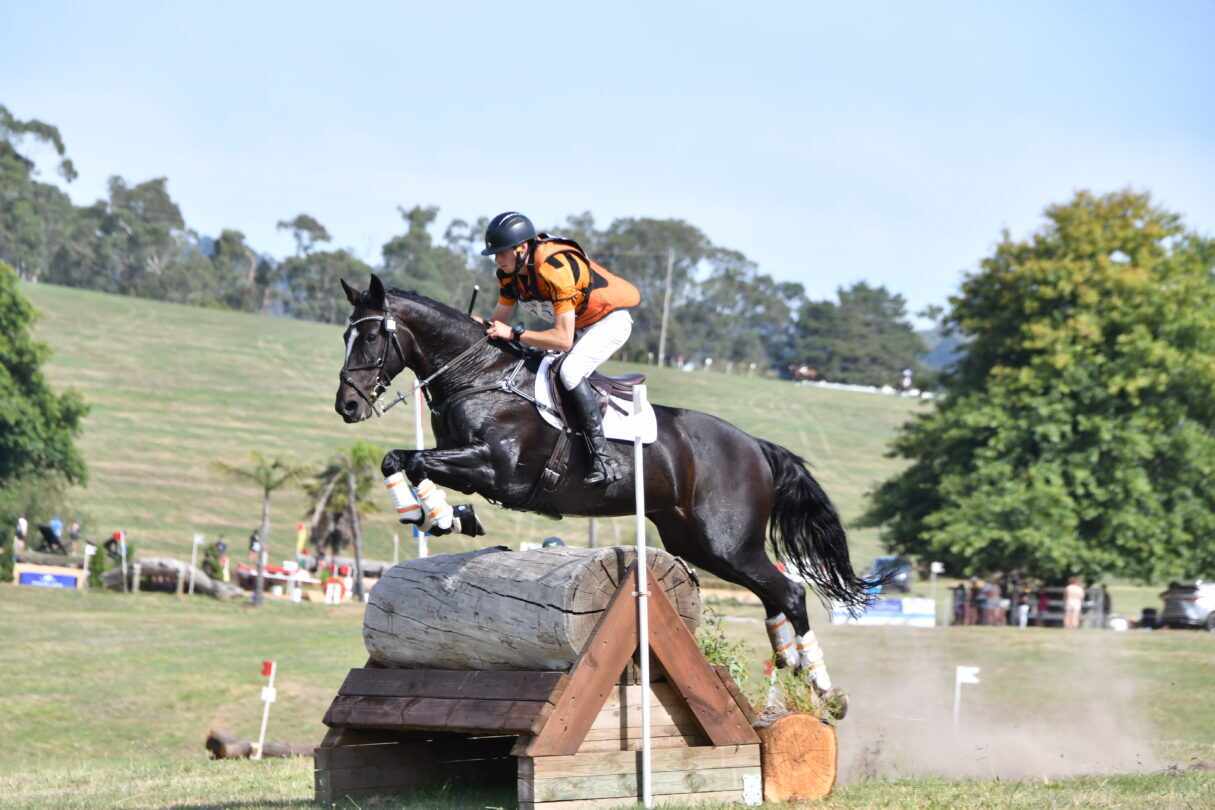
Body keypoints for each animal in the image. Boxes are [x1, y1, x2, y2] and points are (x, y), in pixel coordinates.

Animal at [334, 274, 878, 716]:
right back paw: (790, 662)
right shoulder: (466, 462)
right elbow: (398, 460)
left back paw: (824, 688)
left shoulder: (497, 470)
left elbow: (415, 461)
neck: (482, 377)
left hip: (726, 543)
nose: (347, 406)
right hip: (697, 544)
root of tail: (756, 447)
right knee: (774, 593)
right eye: (346, 336)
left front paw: (443, 516)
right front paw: (438, 515)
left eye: (372, 336)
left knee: (789, 591)